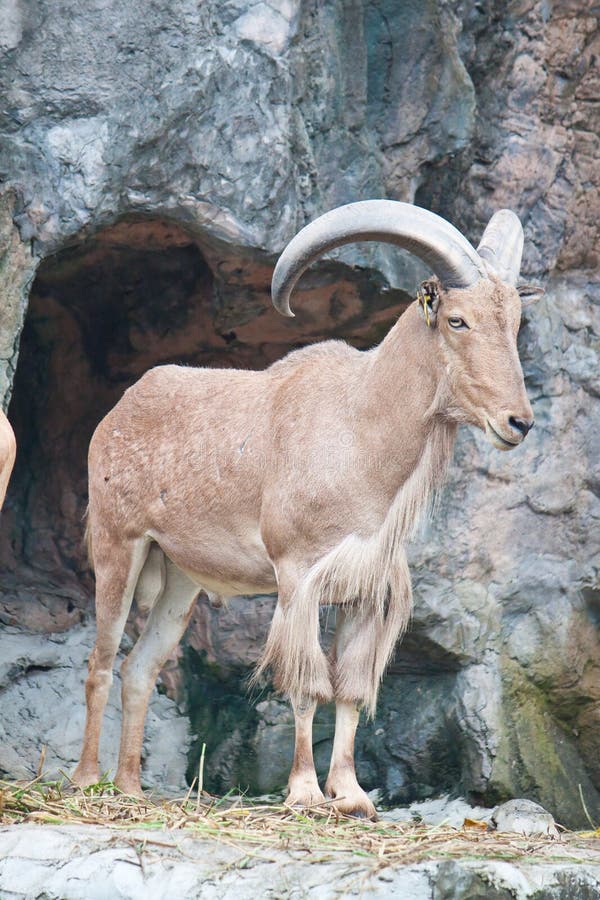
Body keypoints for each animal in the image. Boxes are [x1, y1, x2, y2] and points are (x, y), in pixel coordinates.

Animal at [73, 201, 535, 818]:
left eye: (514, 323)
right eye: (458, 321)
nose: (518, 422)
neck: (361, 427)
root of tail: (117, 414)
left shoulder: (367, 590)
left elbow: (351, 689)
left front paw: (352, 795)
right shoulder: (298, 577)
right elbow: (308, 684)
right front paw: (305, 792)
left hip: (179, 578)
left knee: (140, 667)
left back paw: (130, 787)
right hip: (118, 546)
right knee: (101, 662)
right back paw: (86, 781)